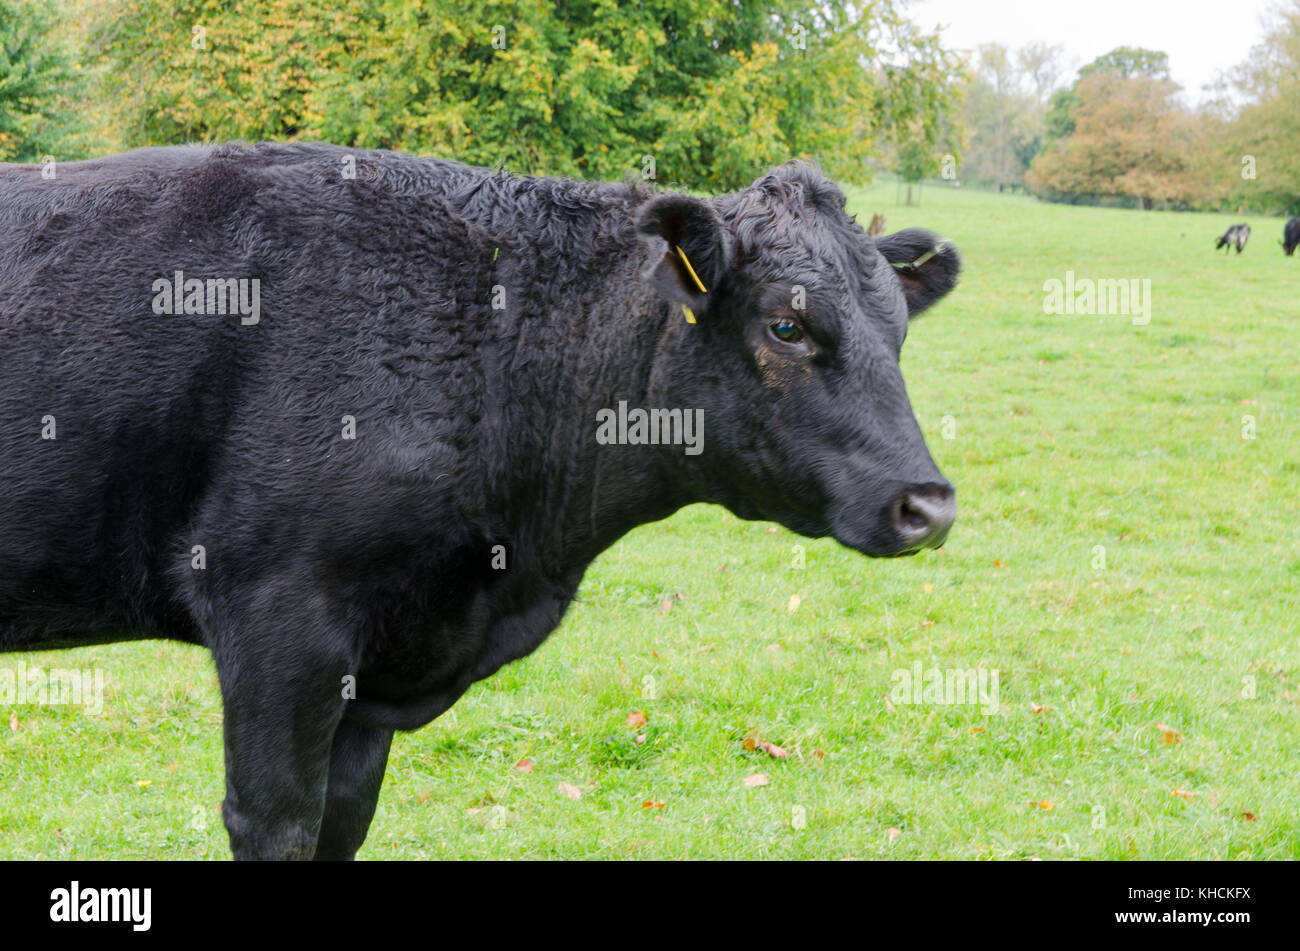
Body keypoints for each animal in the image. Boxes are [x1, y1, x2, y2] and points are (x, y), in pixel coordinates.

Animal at [0, 143, 960, 860]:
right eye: (786, 326)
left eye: (901, 334)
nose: (930, 507)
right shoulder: (275, 615)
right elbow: (276, 822)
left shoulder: (374, 673)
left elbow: (341, 823)